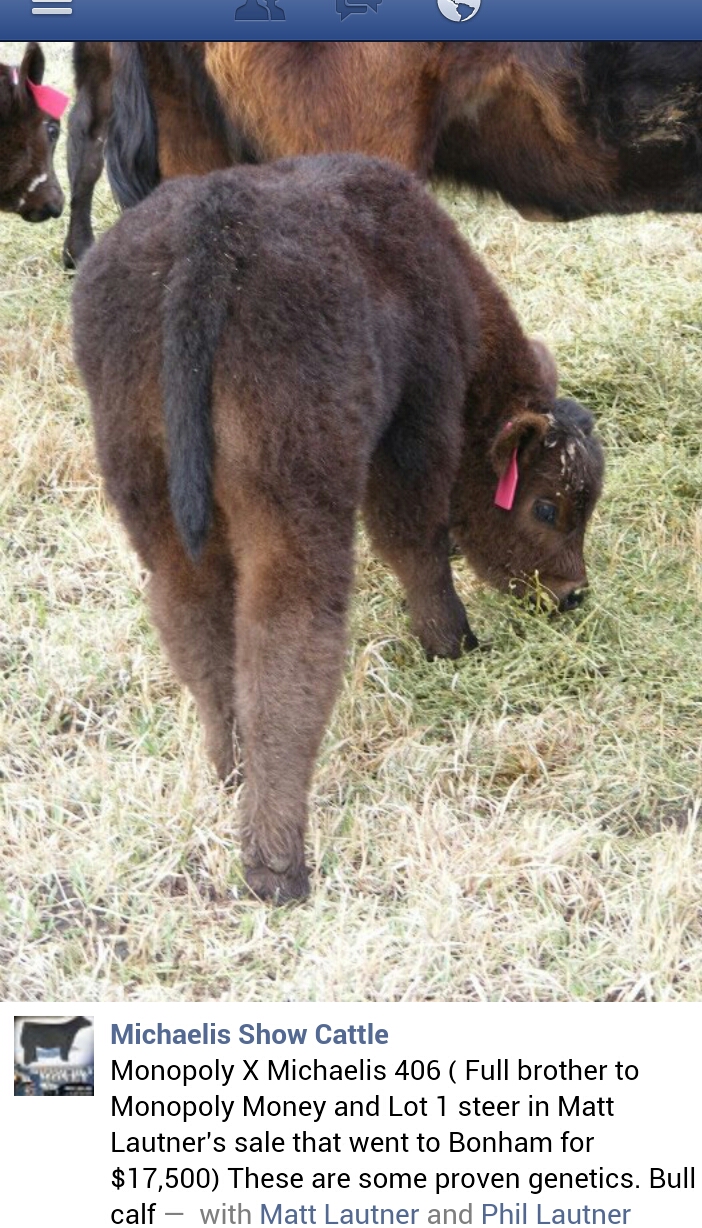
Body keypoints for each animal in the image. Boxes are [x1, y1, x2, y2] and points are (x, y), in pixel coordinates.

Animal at [73, 155, 604, 902]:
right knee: (286, 640)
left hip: (155, 504)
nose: (571, 593)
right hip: (295, 502)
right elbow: (415, 539)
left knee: (193, 620)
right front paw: (453, 643)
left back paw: (233, 775)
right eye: (548, 506)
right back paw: (277, 867)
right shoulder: (418, 424)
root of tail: (210, 233)